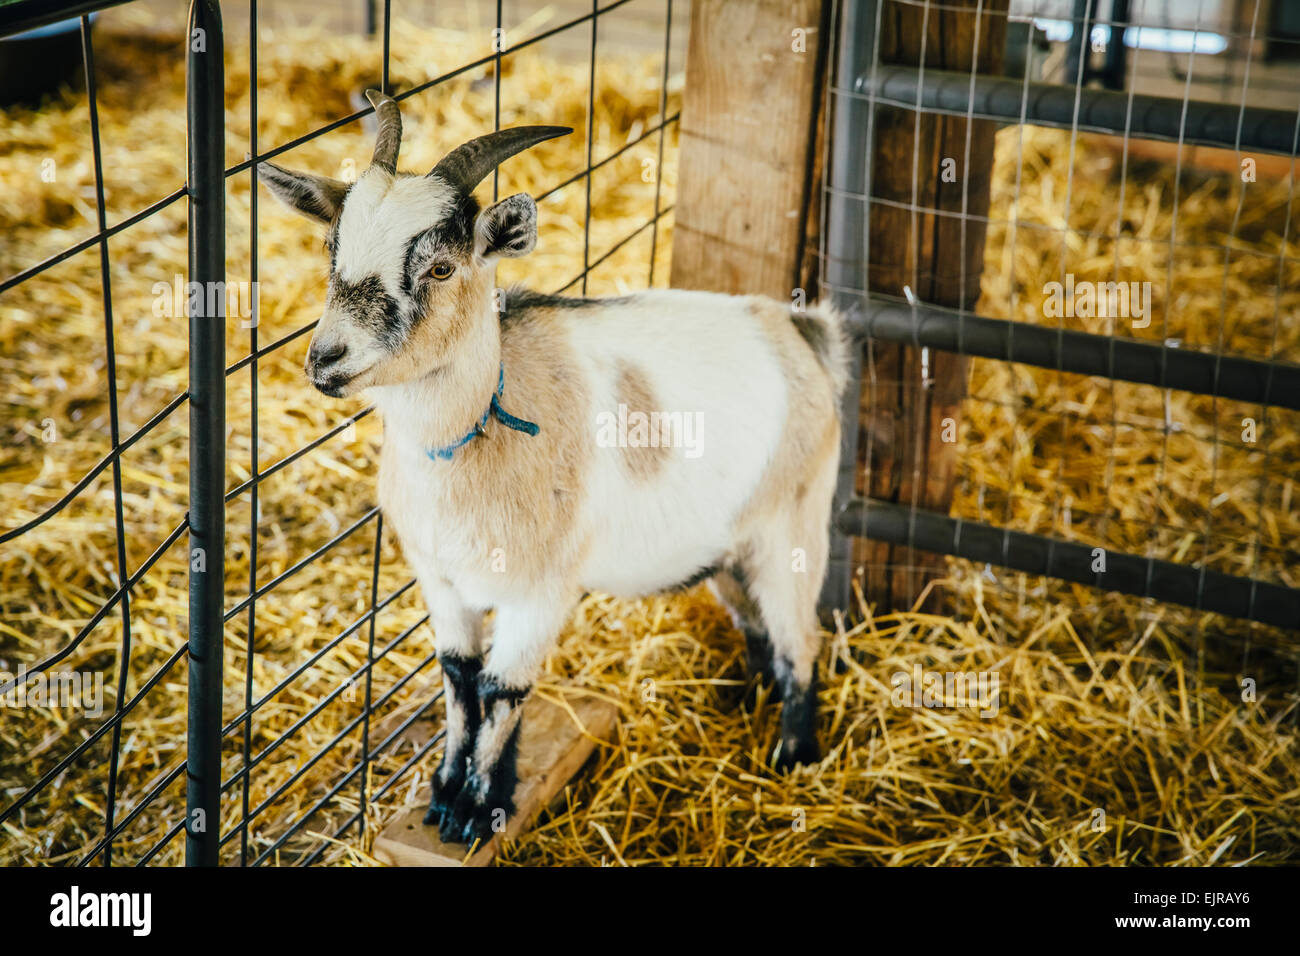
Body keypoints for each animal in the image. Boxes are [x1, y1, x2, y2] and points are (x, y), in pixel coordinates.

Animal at [260, 91, 848, 844]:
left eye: (441, 267)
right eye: (332, 250)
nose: (327, 358)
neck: (476, 433)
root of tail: (803, 331)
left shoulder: (541, 589)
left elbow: (502, 689)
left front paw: (477, 809)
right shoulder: (440, 581)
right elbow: (458, 679)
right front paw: (447, 793)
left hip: (794, 525)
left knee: (801, 636)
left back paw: (794, 755)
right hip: (732, 544)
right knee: (758, 626)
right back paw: (750, 703)